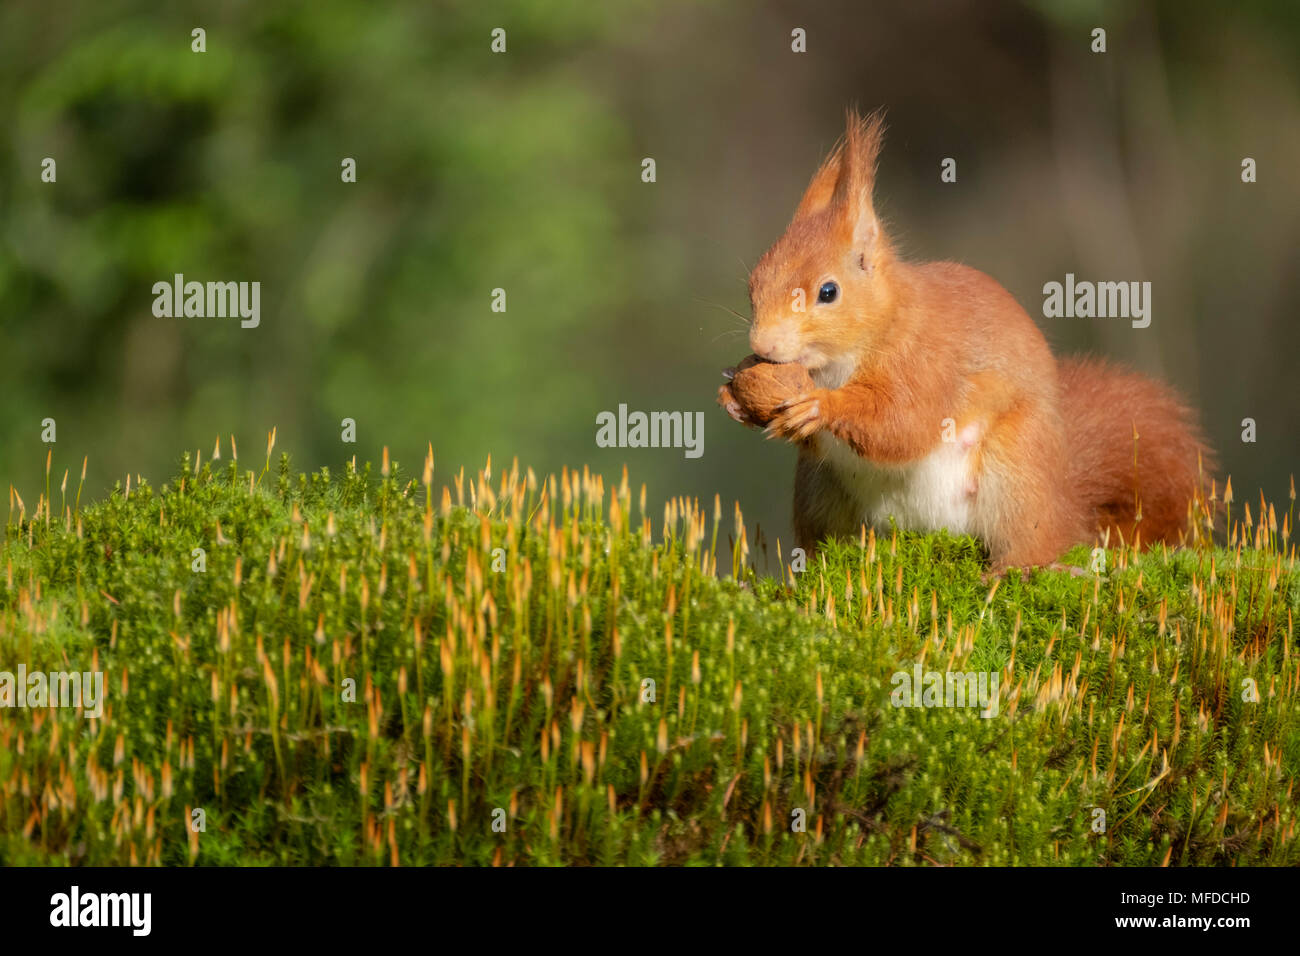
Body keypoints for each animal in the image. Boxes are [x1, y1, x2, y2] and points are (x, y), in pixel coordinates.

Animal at [717, 109, 1215, 573]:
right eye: (754, 284)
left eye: (828, 292)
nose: (764, 346)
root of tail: (1067, 504)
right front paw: (733, 396)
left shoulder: (928, 359)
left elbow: (902, 421)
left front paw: (820, 406)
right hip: (819, 494)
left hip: (1017, 473)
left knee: (1032, 539)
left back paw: (1020, 571)